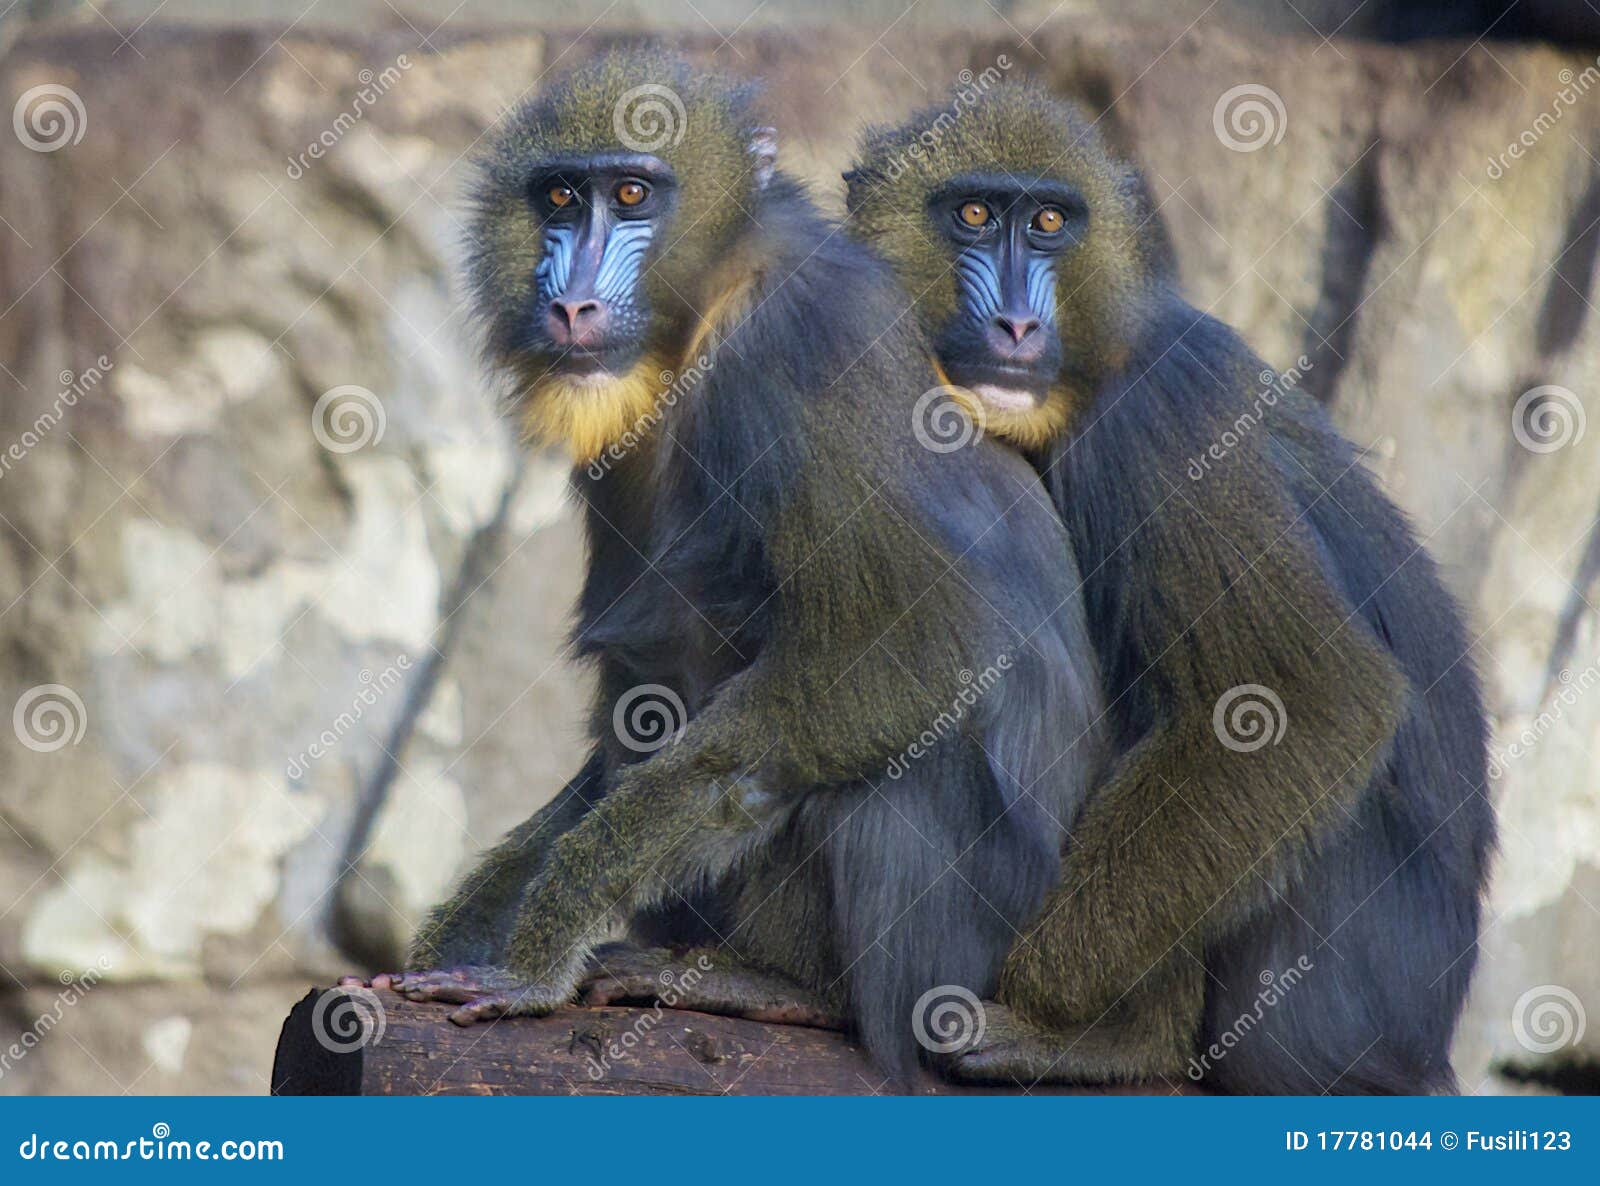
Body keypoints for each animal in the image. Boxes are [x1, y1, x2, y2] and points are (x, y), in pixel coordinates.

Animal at [357, 50, 1108, 1083]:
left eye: (633, 194)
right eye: (560, 196)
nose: (571, 303)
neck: (701, 307)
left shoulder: (799, 347)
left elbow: (917, 651)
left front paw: (539, 954)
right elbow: (637, 697)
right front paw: (466, 932)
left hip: (959, 956)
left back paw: (782, 988)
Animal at [842, 80, 1495, 1093]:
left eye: (1050, 223)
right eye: (975, 215)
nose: (1017, 327)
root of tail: (1419, 1052)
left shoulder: (1156, 414)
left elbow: (1303, 699)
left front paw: (1052, 1008)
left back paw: (1115, 1040)